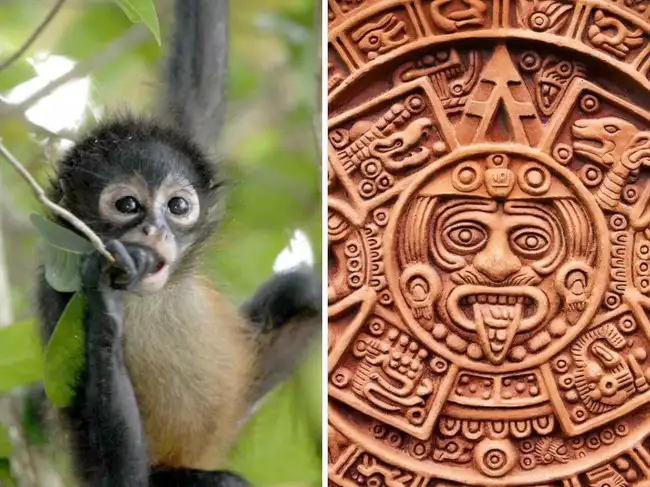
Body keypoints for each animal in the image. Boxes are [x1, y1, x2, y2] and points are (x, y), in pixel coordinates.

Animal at [34, 1, 321, 486]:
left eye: (178, 206)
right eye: (128, 205)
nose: (155, 230)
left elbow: (198, 89)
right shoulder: (57, 294)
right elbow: (119, 478)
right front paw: (105, 302)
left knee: (304, 290)